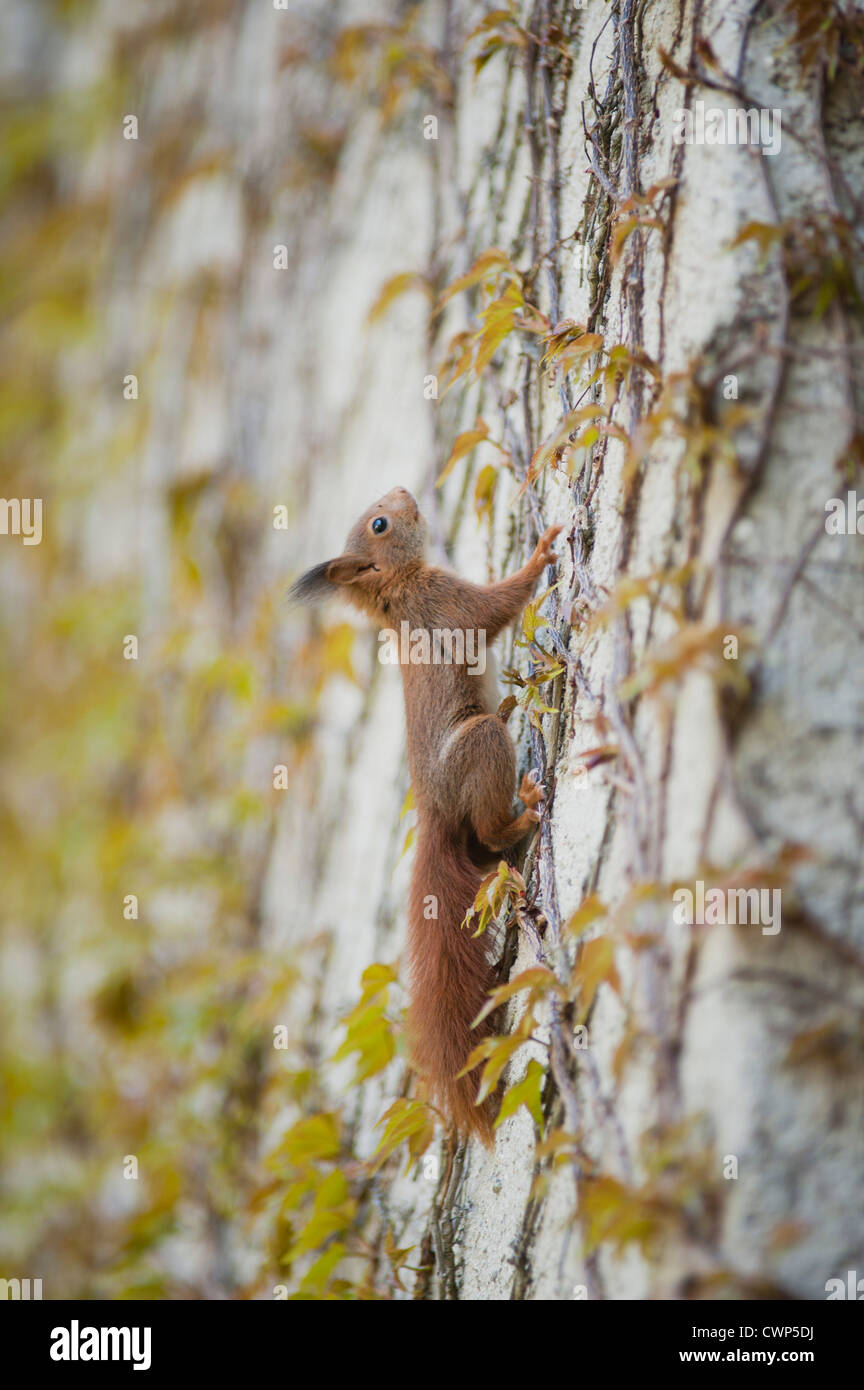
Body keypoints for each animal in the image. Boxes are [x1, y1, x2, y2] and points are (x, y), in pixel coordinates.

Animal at [290, 487, 561, 1143]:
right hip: (481, 744)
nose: (405, 493)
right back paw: (525, 812)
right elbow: (496, 606)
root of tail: (436, 814)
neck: (398, 591)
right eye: (379, 524)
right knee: (489, 831)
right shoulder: (446, 601)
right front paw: (541, 554)